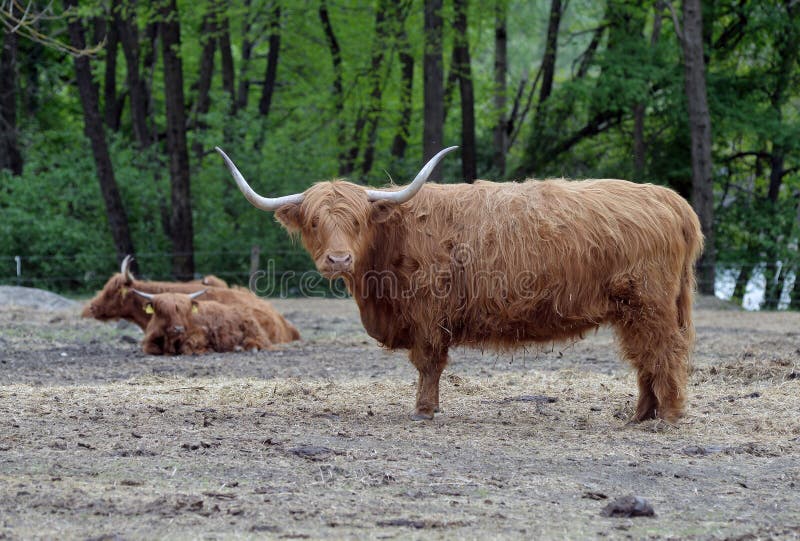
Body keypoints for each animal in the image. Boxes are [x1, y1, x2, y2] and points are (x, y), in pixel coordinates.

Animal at [132, 290, 272, 355]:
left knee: (259, 342)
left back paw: (242, 347)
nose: (178, 329)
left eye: (185, 311)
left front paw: (206, 349)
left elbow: (187, 347)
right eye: (162, 311)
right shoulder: (150, 339)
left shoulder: (200, 334)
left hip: (252, 329)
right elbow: (150, 348)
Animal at [216, 146, 703, 423]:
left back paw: (669, 416)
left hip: (651, 303)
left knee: (665, 352)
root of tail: (668, 198)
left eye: (356, 221)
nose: (338, 260)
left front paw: (424, 411)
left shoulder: (428, 313)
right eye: (315, 222)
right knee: (644, 357)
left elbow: (428, 363)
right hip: (633, 309)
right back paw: (640, 415)